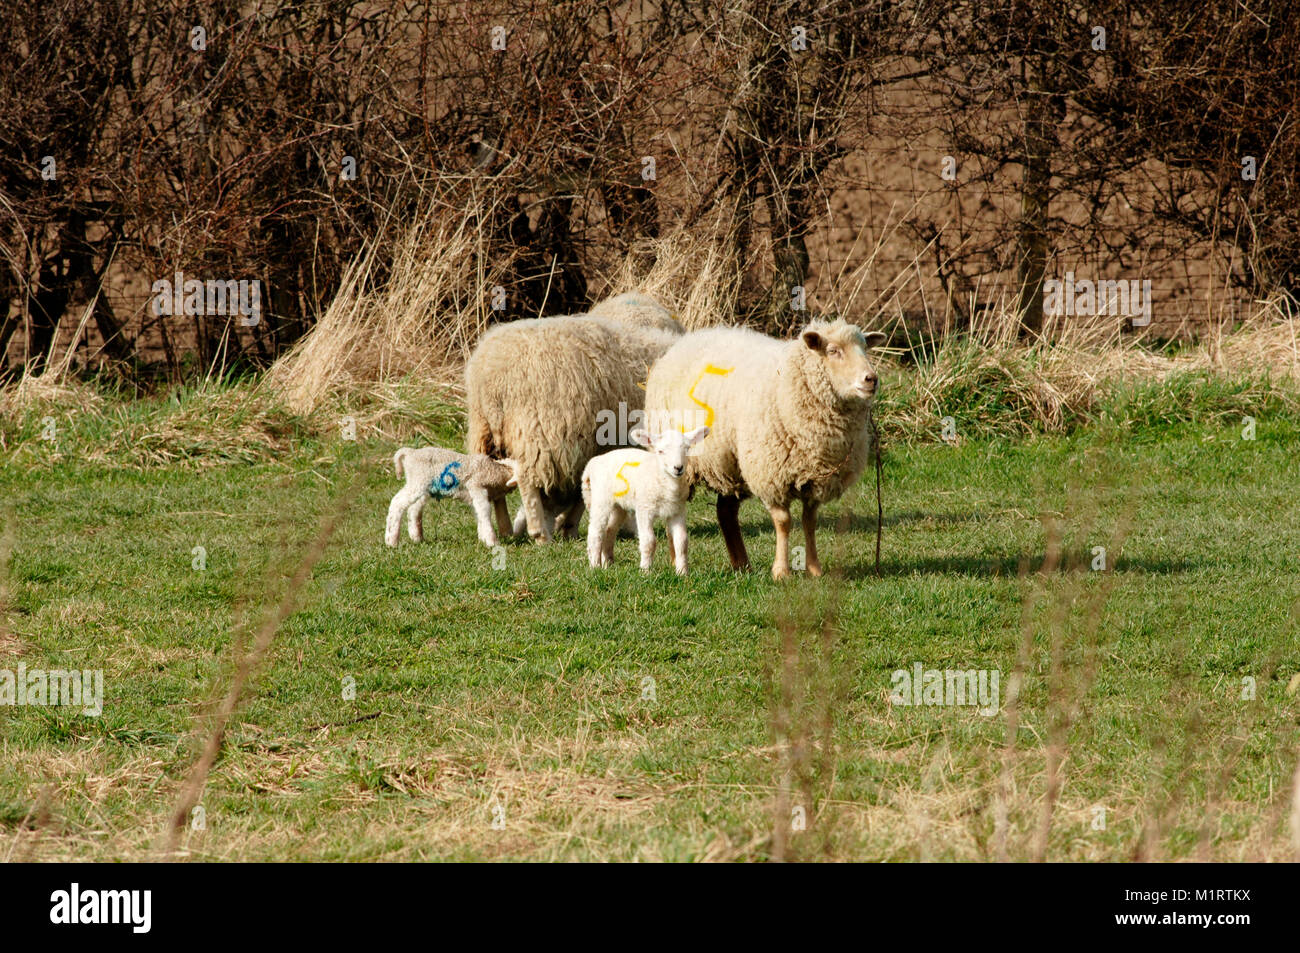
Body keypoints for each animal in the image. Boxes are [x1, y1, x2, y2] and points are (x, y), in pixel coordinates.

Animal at [385, 446, 518, 548]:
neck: (495, 471)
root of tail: (410, 453)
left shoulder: (474, 496)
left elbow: (478, 514)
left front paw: (483, 538)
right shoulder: (476, 486)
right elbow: (484, 511)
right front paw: (492, 542)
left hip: (422, 486)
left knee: (413, 509)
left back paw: (417, 538)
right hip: (418, 481)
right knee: (397, 503)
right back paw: (391, 541)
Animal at [465, 293, 683, 544]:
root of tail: (490, 374)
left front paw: (569, 526)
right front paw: (571, 526)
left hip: (484, 431)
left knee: (487, 480)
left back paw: (500, 530)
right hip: (537, 430)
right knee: (526, 479)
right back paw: (539, 533)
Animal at [582, 426, 710, 574]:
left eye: (687, 449)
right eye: (660, 451)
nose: (678, 468)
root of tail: (593, 462)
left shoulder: (678, 510)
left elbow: (682, 542)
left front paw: (683, 572)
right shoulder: (644, 508)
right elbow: (649, 541)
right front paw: (645, 571)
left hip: (619, 506)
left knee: (609, 531)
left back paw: (608, 563)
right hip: (601, 498)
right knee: (595, 533)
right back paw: (595, 567)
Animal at [644, 319, 886, 579]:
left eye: (865, 348)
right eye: (833, 351)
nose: (871, 379)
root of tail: (685, 341)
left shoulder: (816, 479)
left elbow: (809, 521)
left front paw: (814, 569)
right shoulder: (771, 473)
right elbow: (783, 522)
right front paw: (781, 571)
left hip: (730, 462)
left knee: (726, 512)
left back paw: (741, 564)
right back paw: (675, 561)